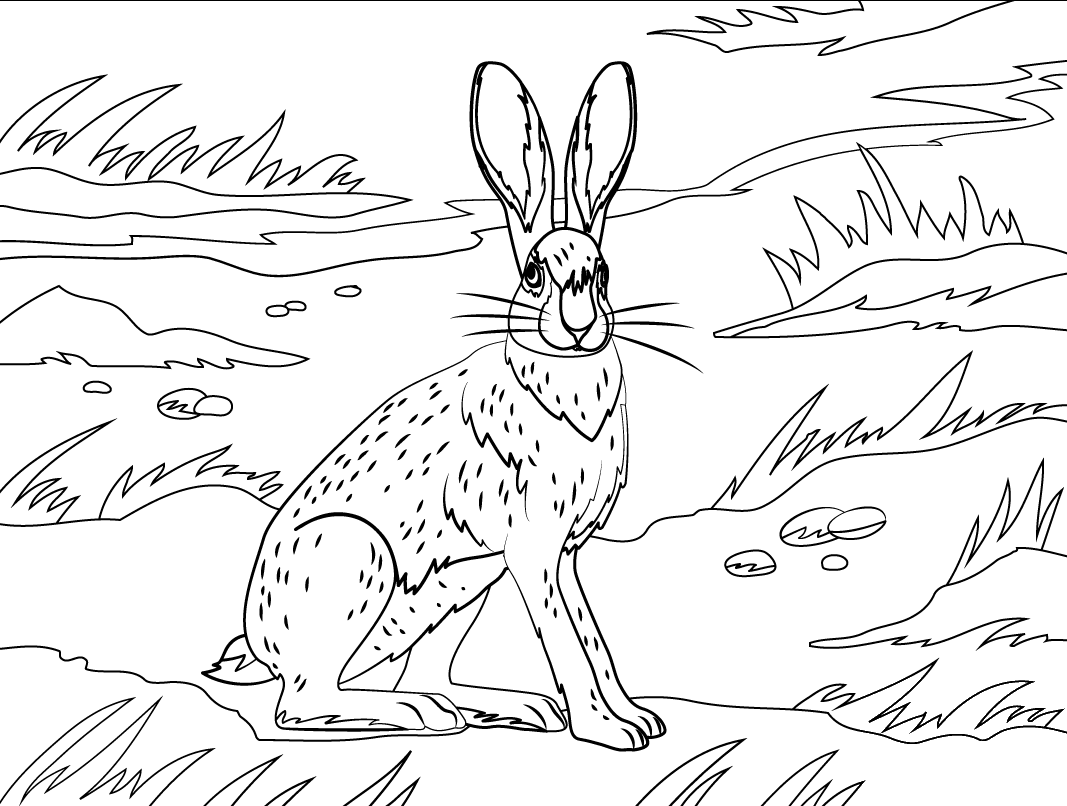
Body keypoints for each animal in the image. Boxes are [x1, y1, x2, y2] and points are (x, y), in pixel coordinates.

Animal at [208, 61, 664, 751]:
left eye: (604, 273)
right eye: (533, 276)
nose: (582, 328)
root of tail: (261, 642)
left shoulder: (562, 555)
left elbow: (592, 638)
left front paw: (635, 717)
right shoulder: (534, 550)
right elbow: (566, 641)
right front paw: (607, 729)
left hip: (463, 584)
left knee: (420, 671)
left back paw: (503, 707)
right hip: (355, 555)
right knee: (303, 704)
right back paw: (418, 715)